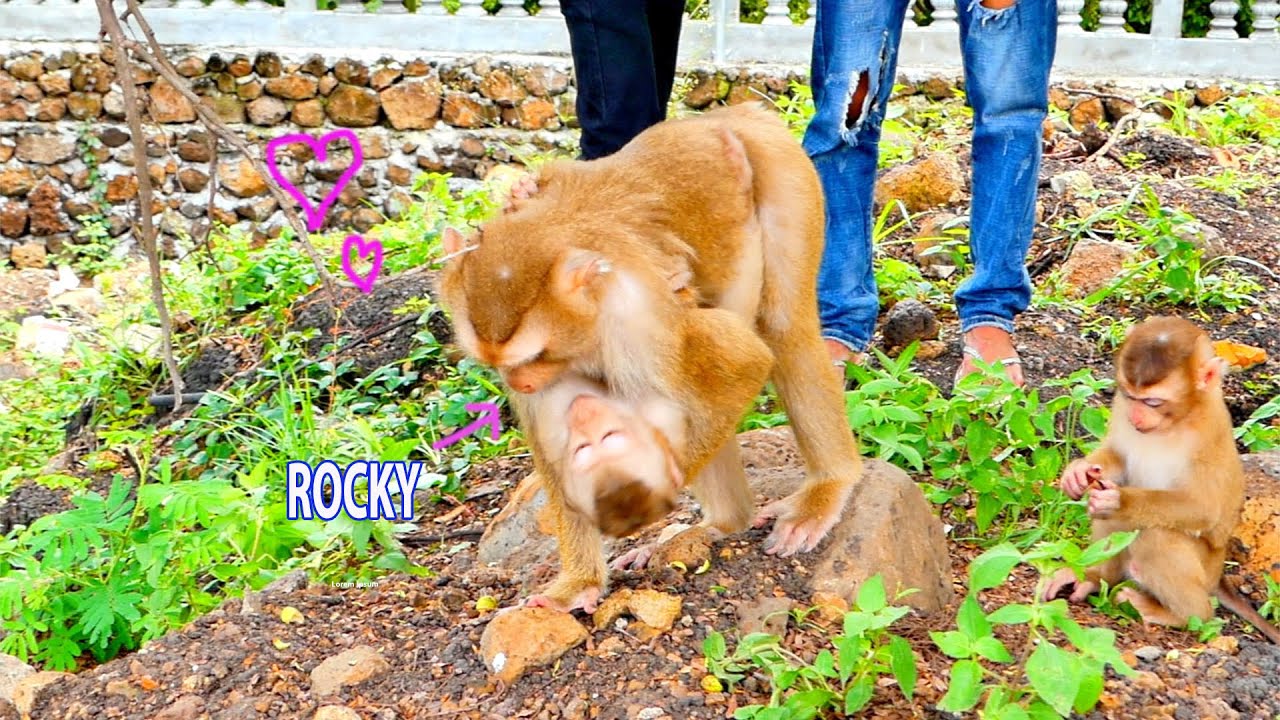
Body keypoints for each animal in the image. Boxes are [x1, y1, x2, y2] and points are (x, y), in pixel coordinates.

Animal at [437, 102, 864, 612]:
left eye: (536, 354)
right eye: (500, 366)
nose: (520, 384)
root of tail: (722, 116)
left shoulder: (639, 316)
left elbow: (743, 364)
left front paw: (647, 493)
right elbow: (554, 440)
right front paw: (578, 582)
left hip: (782, 166)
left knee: (785, 329)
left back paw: (828, 487)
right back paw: (725, 523)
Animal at [1042, 316, 1280, 644]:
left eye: (1153, 401)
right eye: (1131, 396)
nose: (1137, 418)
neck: (1174, 423)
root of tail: (1219, 575)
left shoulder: (1208, 434)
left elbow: (1203, 507)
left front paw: (1119, 500)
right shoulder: (1120, 408)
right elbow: (1117, 457)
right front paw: (1079, 472)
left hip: (1204, 571)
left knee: (1157, 536)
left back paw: (1181, 614)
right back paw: (1092, 578)